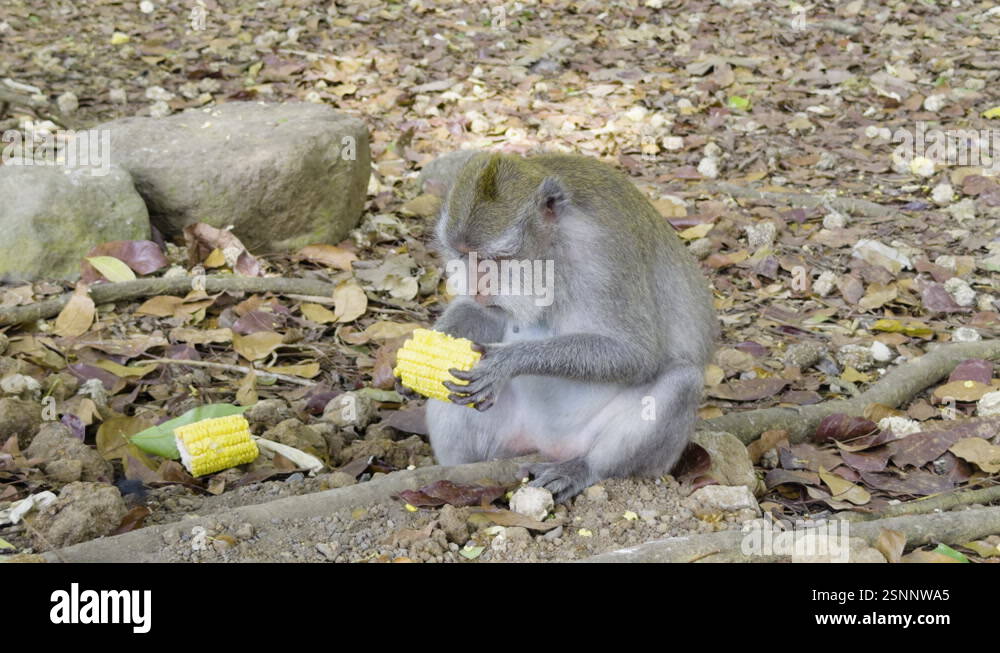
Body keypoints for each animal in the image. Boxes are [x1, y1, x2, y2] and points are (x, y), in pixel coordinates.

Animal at [421, 151, 717, 503]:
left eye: (497, 258)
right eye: (464, 255)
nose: (478, 287)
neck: (553, 249)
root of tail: (548, 445)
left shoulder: (601, 255)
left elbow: (636, 354)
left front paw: (506, 361)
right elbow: (489, 316)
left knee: (682, 380)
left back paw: (583, 468)